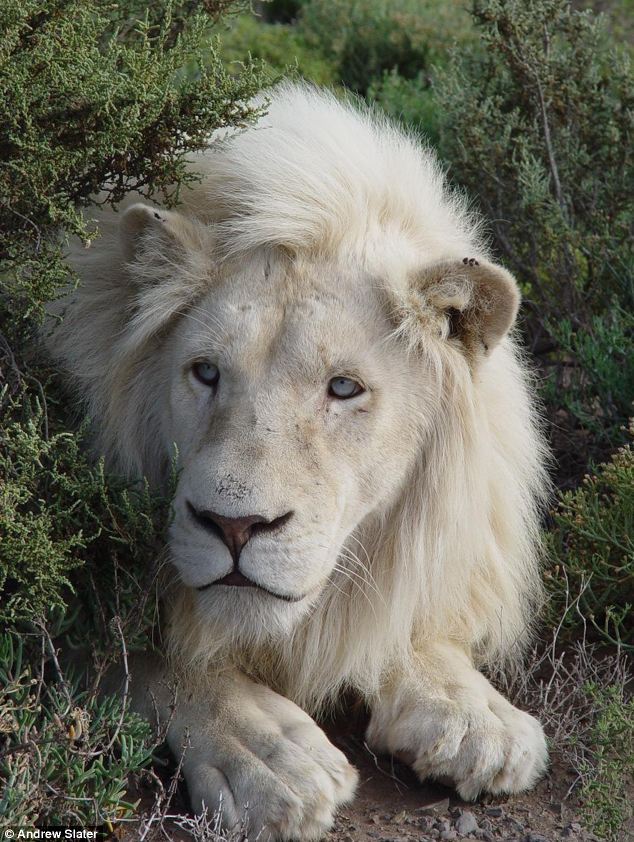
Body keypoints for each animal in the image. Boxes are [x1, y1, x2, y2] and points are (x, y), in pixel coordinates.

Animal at [49, 83, 550, 839]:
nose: (234, 526)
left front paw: (473, 713)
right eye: (205, 372)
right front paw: (269, 758)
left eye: (342, 388)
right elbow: (157, 654)